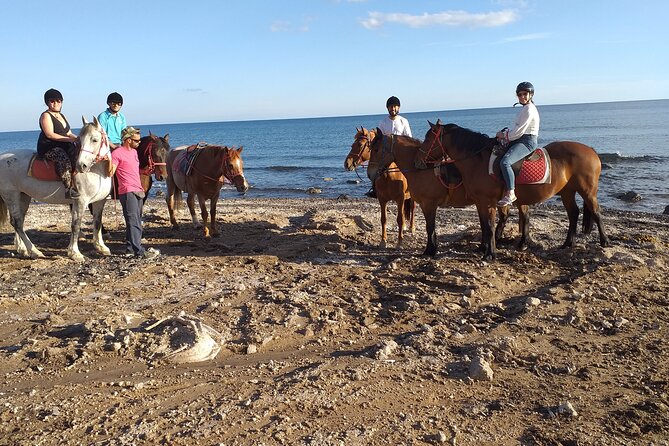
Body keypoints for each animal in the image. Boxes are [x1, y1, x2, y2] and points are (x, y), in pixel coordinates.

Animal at [0, 117, 113, 261]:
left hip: (23, 195)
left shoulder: (100, 201)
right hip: (11, 195)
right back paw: (34, 251)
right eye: (80, 141)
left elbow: (97, 222)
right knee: (17, 222)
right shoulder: (80, 201)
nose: (81, 165)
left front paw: (101, 247)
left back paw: (22, 249)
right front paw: (75, 253)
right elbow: (76, 225)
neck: (96, 171)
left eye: (95, 139)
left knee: (19, 220)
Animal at [364, 128, 516, 256]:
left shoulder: (429, 204)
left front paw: (430, 250)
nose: (369, 174)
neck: (422, 168)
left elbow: (429, 226)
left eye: (376, 149)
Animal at [418, 120, 609, 260]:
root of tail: (590, 150)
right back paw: (568, 243)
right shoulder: (480, 202)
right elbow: (484, 225)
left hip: (587, 190)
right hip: (567, 191)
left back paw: (604, 241)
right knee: (573, 213)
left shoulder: (488, 202)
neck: (478, 161)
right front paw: (483, 248)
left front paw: (490, 254)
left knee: (596, 211)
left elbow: (489, 225)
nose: (419, 161)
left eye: (428, 139)